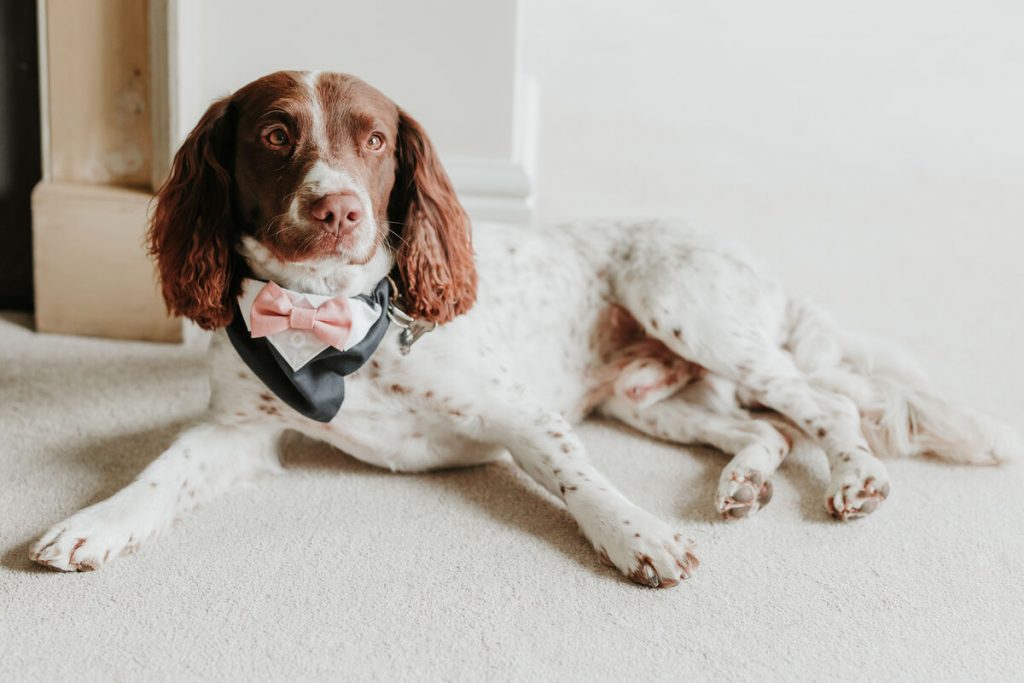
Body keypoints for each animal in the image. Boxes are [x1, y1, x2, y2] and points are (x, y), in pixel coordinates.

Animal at [28, 70, 1019, 589]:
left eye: (376, 139)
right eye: (275, 135)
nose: (340, 210)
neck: (337, 316)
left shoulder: (521, 416)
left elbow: (585, 485)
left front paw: (640, 535)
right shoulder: (235, 432)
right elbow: (158, 475)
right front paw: (93, 523)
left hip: (692, 310)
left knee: (824, 408)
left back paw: (855, 481)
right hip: (651, 396)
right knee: (766, 428)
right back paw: (741, 482)